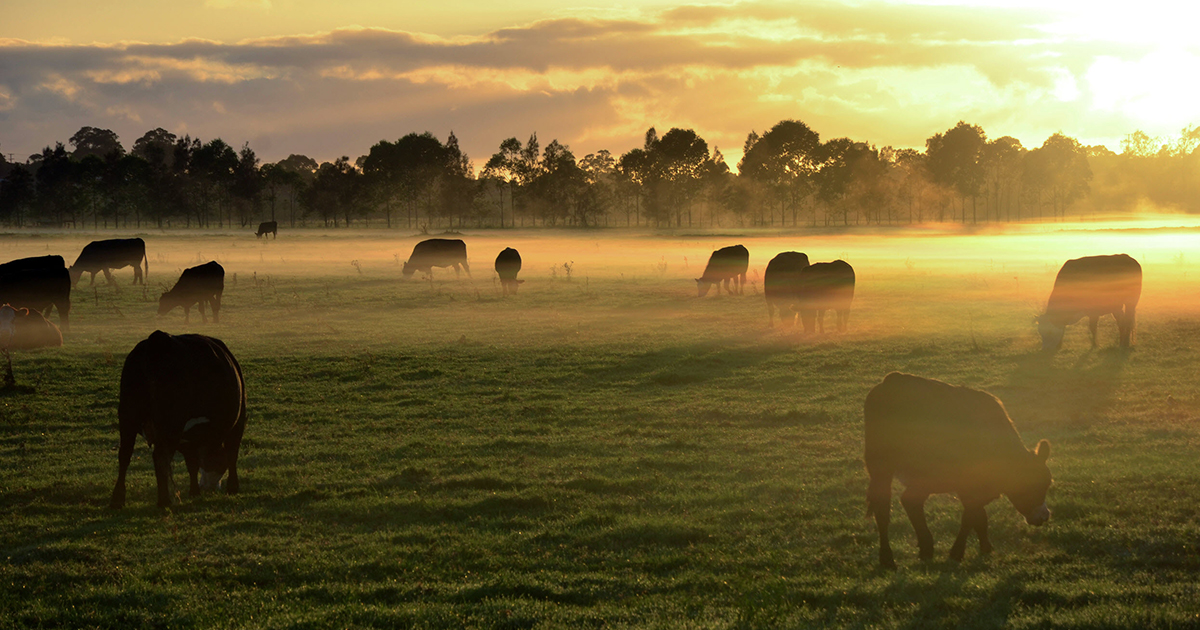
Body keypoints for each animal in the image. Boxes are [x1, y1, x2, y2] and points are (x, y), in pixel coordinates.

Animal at [110, 331, 247, 509]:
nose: (210, 488)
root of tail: (158, 339)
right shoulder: (238, 423)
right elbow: (232, 454)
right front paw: (232, 487)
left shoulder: (187, 440)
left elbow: (192, 463)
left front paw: (194, 491)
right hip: (170, 424)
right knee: (160, 457)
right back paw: (164, 501)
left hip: (128, 415)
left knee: (124, 454)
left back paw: (117, 499)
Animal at [864, 372, 1052, 569]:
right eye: (1034, 486)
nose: (1044, 516)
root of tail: (894, 379)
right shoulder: (970, 485)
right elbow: (971, 516)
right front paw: (957, 552)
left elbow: (980, 517)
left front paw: (985, 547)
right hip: (912, 472)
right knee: (896, 505)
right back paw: (897, 556)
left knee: (894, 504)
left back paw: (913, 551)